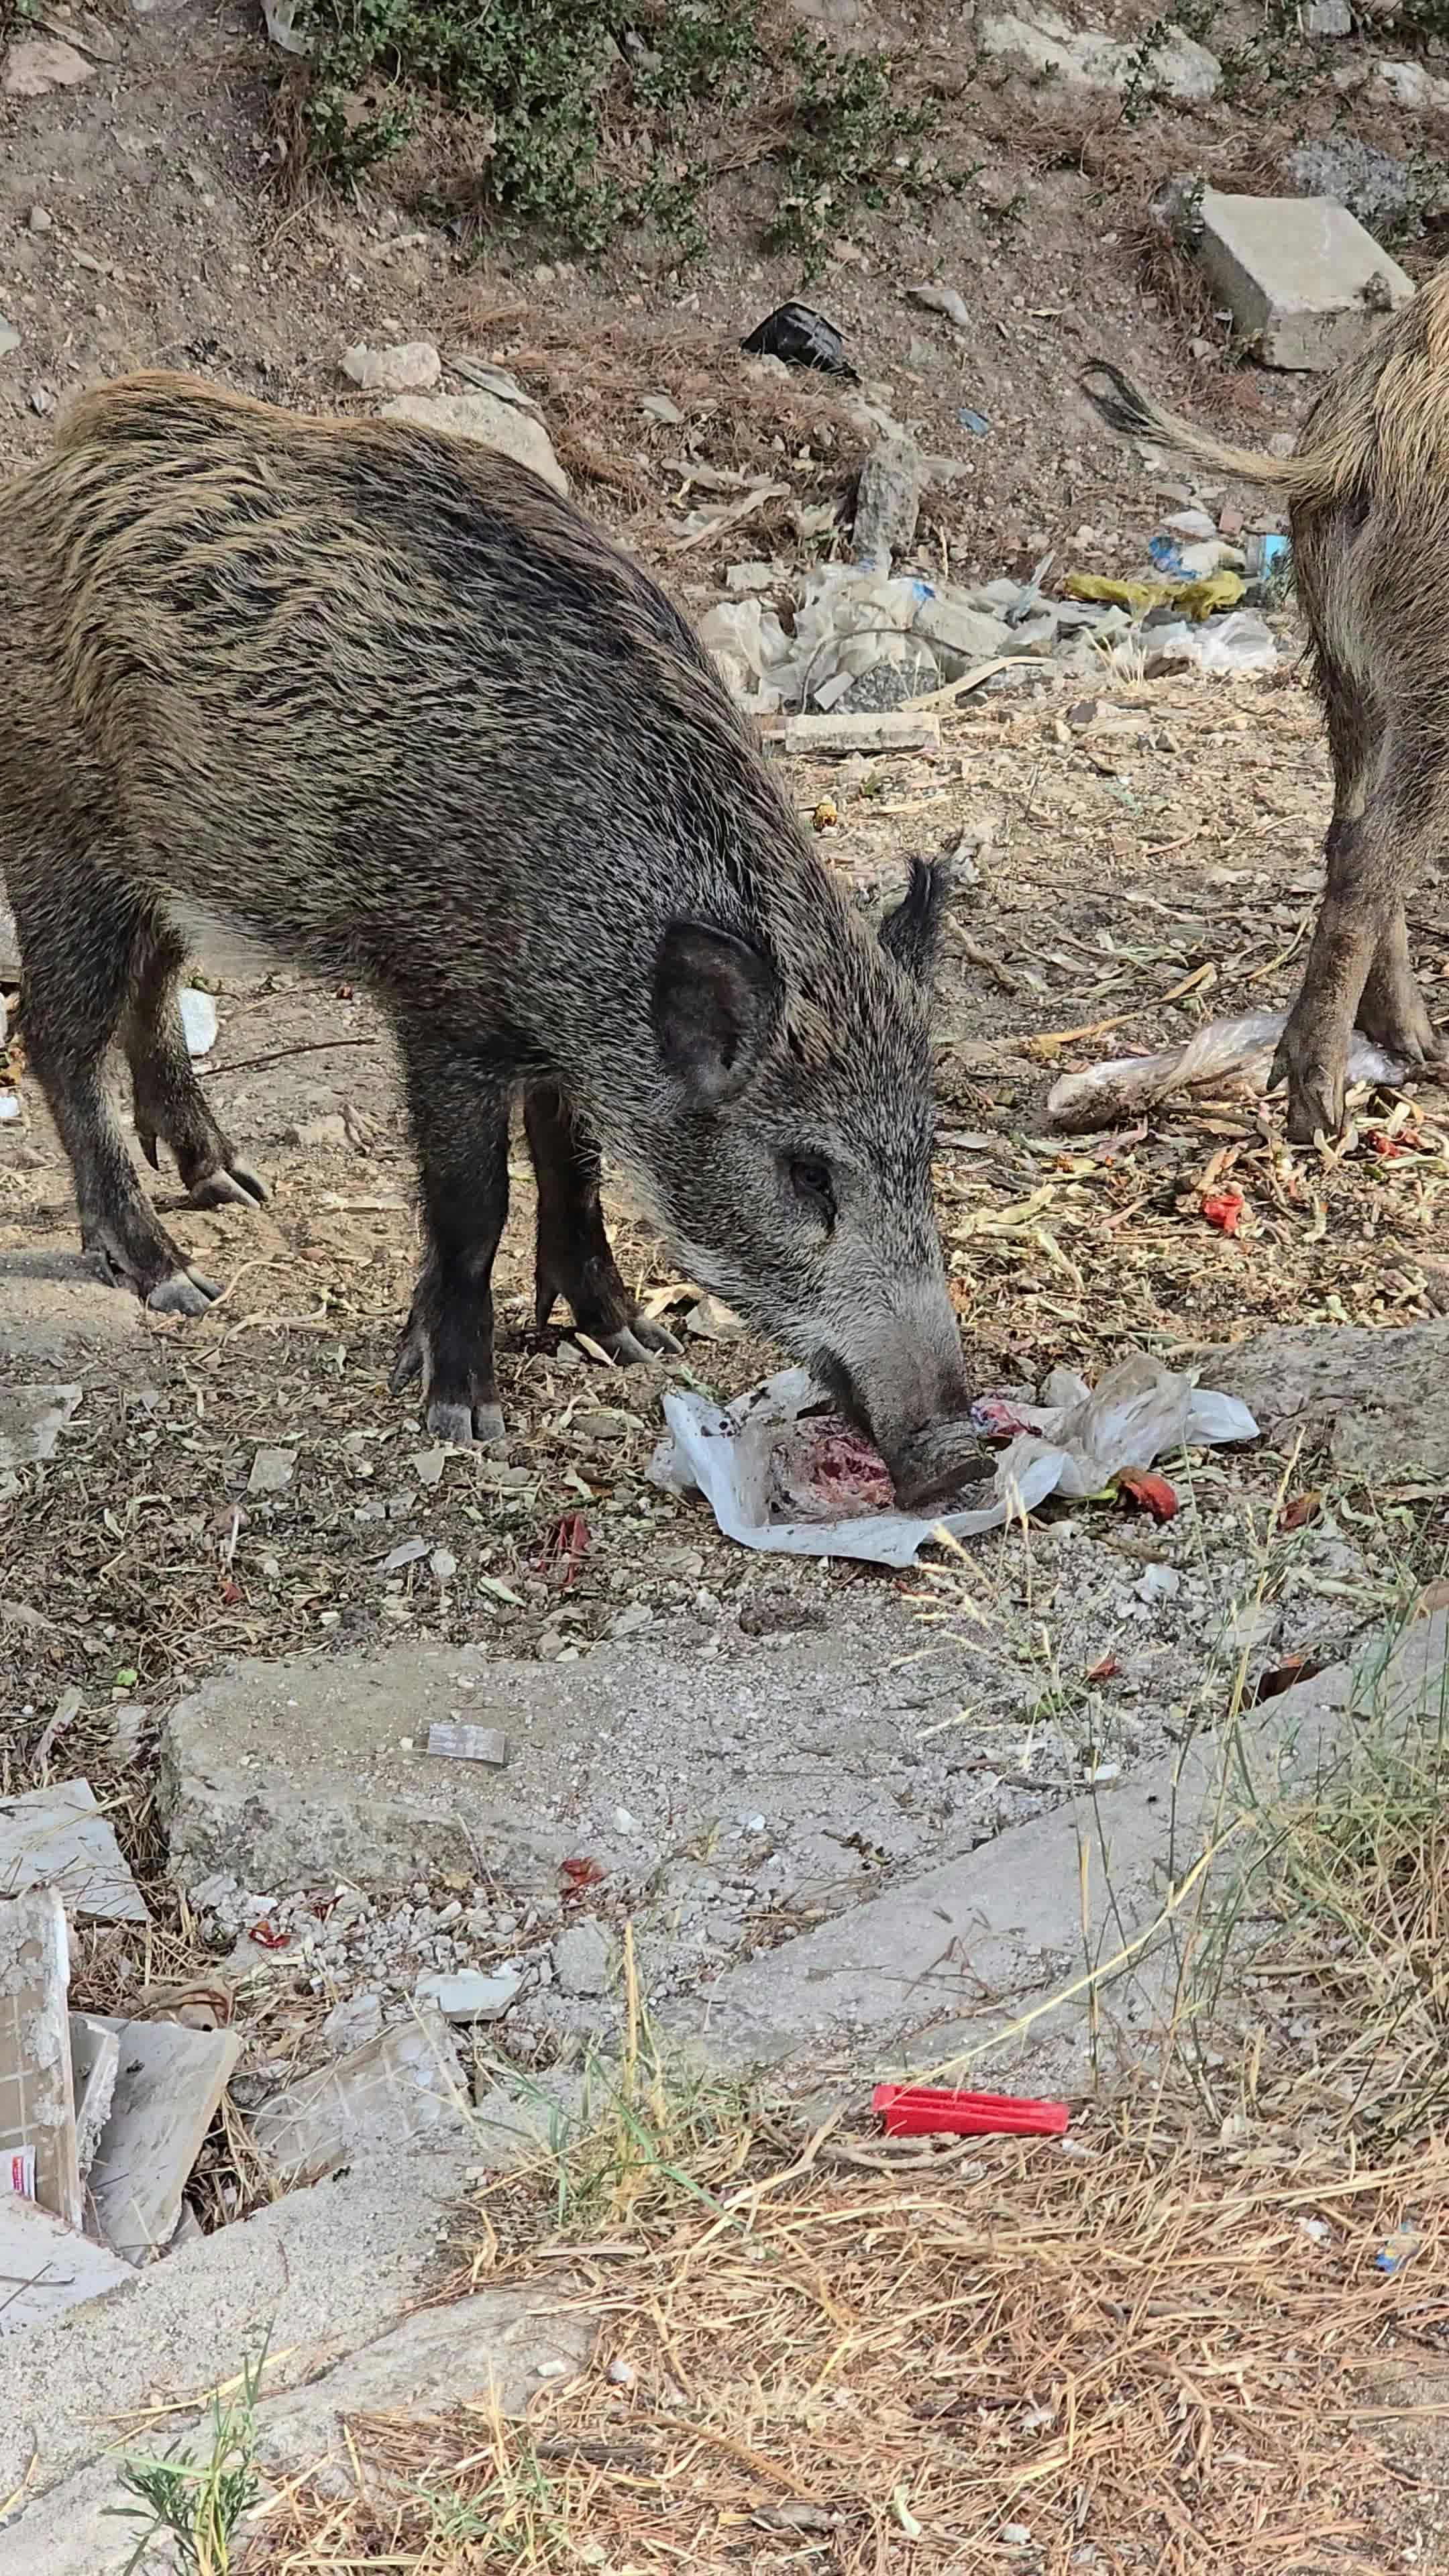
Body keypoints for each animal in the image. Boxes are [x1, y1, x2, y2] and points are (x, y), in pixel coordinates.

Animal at [0, 370, 972, 1502]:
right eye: (807, 1171)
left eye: (926, 1151)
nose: (960, 1456)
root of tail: (46, 475)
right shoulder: (443, 1008)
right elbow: (474, 1206)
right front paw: (462, 1412)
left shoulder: (571, 1047)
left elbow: (573, 1173)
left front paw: (633, 1341)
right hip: (61, 837)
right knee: (58, 1044)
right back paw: (171, 1278)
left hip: (177, 864)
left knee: (150, 989)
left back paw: (231, 1185)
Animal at [1081, 308, 1449, 1144]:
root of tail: (1359, 436)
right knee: (1371, 851)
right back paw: (1321, 1117)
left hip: (1345, 660)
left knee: (1348, 829)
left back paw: (1411, 1047)